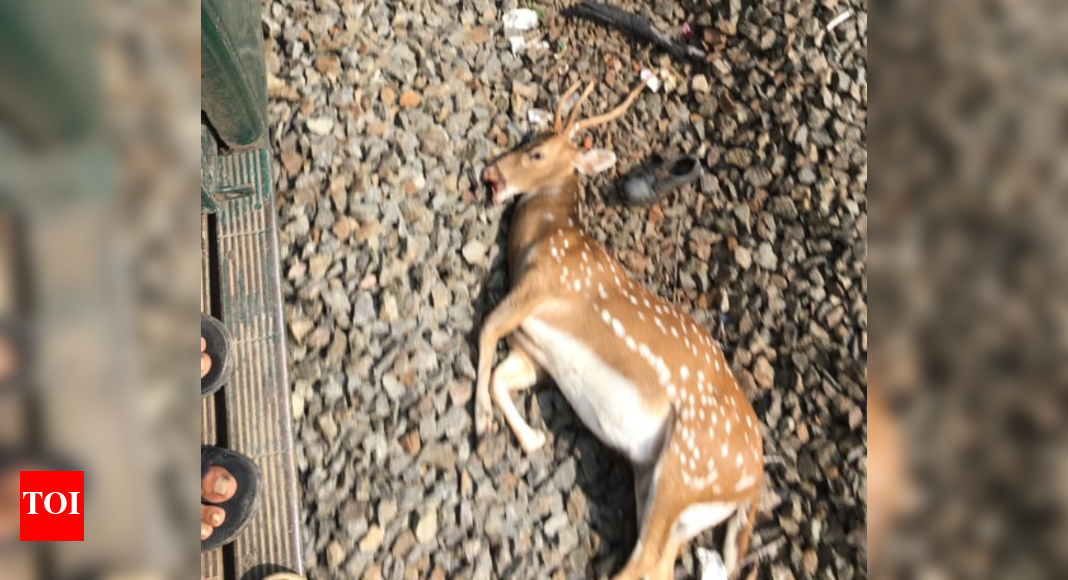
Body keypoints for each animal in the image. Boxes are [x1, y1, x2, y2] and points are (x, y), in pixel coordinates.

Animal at [477, 78, 765, 580]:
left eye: (536, 152)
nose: (490, 172)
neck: (543, 239)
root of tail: (754, 483)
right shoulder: (536, 353)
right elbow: (500, 375)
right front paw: (532, 439)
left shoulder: (547, 283)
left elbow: (485, 331)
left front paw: (479, 423)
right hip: (665, 485)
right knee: (659, 563)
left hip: (688, 466)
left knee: (643, 561)